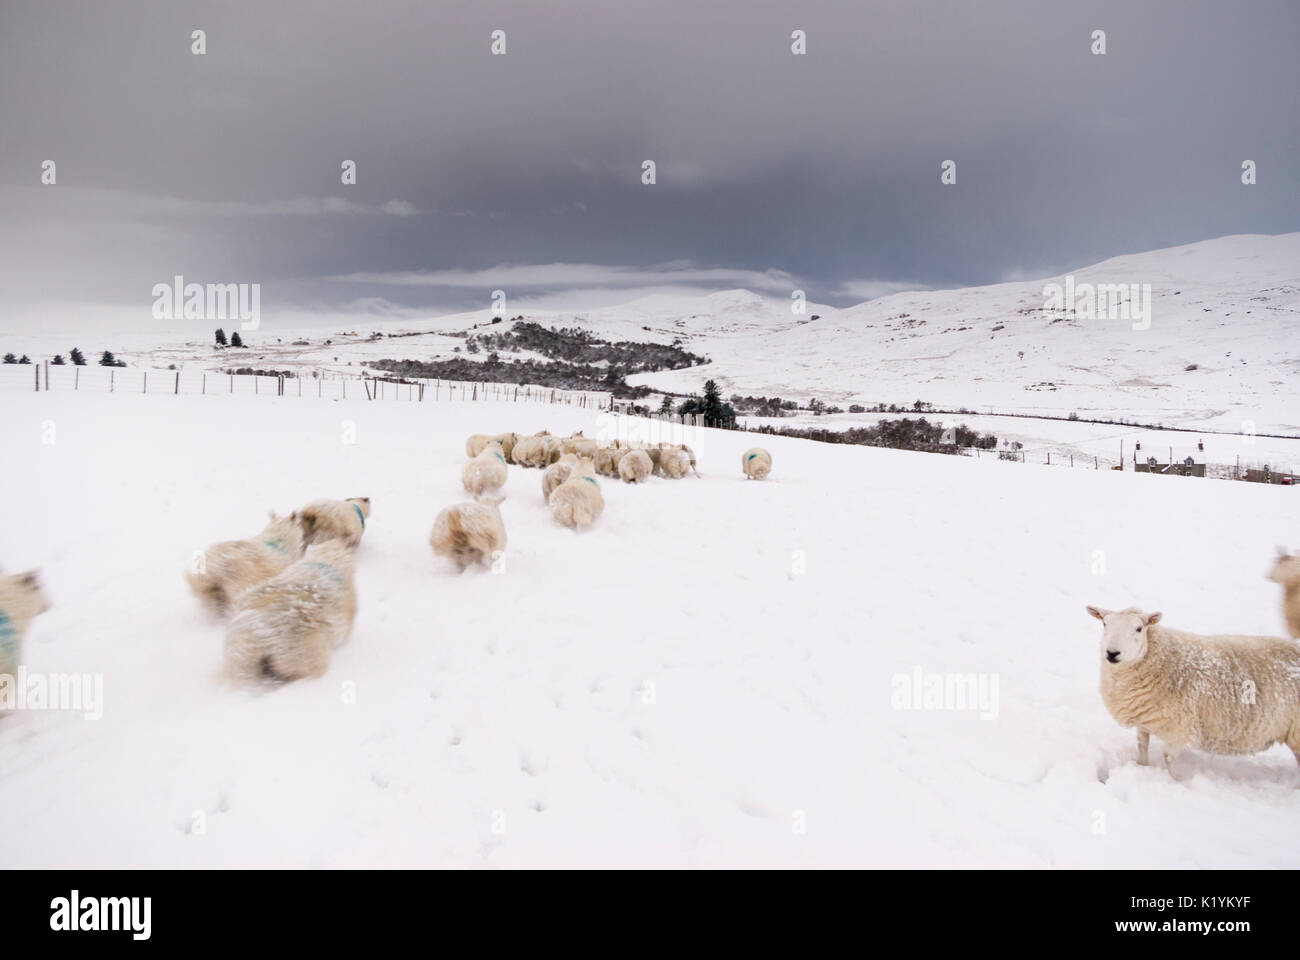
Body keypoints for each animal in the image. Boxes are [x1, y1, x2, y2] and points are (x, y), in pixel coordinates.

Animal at [1085, 605, 1300, 776]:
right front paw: (1142, 766)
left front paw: (1177, 781)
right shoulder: (1144, 718)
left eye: (1139, 628)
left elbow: (1168, 758)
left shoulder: (1178, 727)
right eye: (1104, 624)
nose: (1112, 653)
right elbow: (1142, 746)